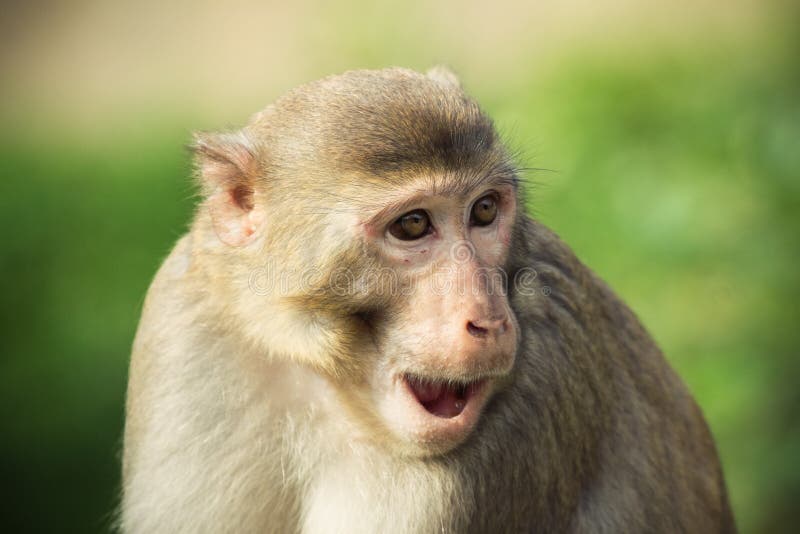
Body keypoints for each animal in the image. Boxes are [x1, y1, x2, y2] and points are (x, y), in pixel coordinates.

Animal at [120, 66, 735, 533]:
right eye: (413, 225)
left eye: (484, 211)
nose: (488, 319)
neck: (329, 385)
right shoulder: (188, 318)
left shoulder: (535, 388)